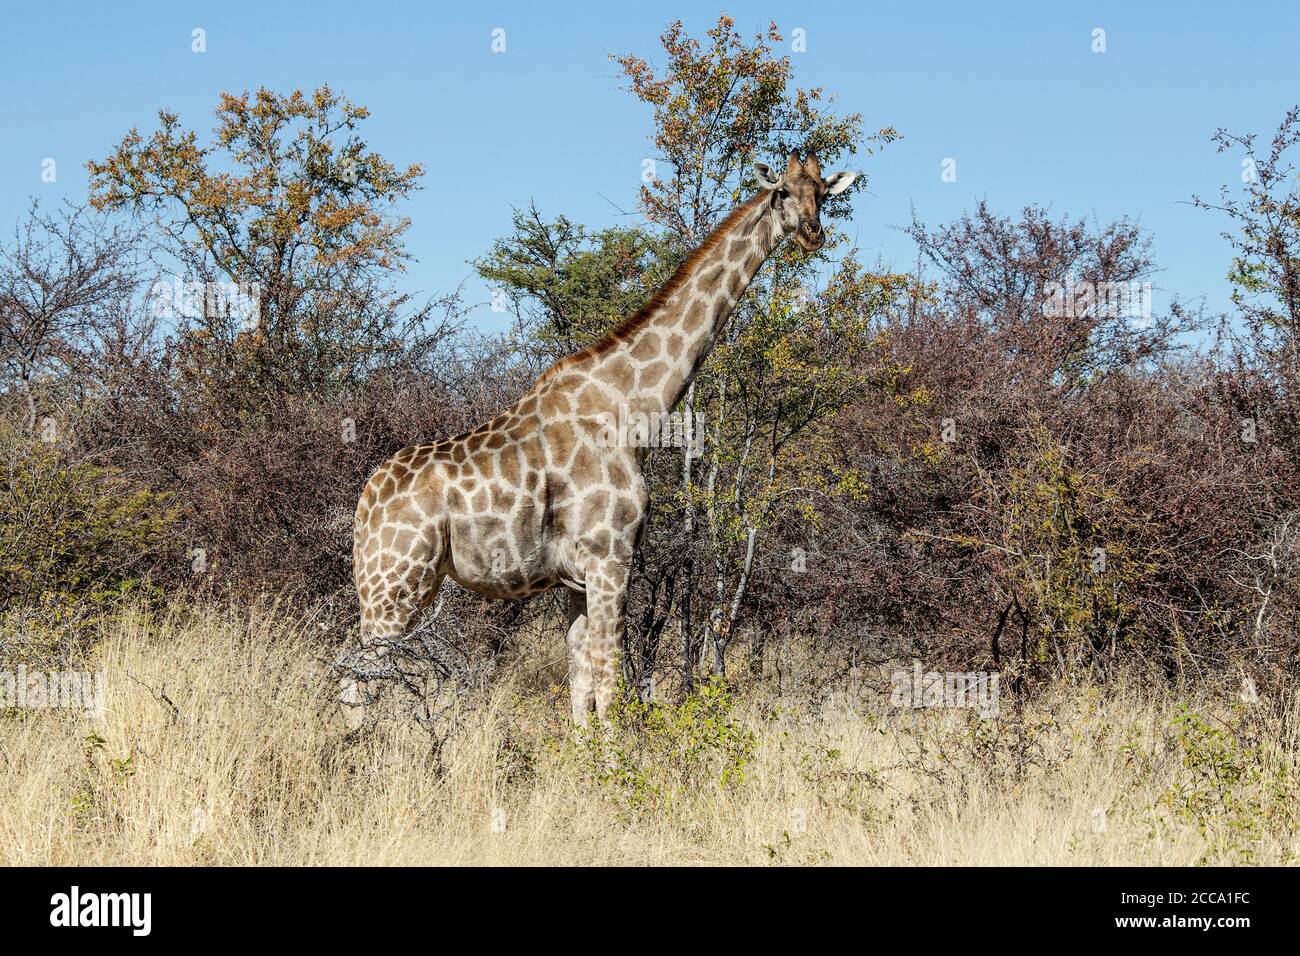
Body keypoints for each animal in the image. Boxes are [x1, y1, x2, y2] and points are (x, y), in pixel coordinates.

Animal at [344, 151, 857, 726]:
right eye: (783, 193)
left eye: (823, 193)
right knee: (356, 679)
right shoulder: (611, 558)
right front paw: (617, 752)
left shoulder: (575, 578)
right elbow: (611, 677)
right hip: (395, 581)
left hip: (403, 582)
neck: (633, 411)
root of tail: (365, 504)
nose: (813, 233)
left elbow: (581, 683)